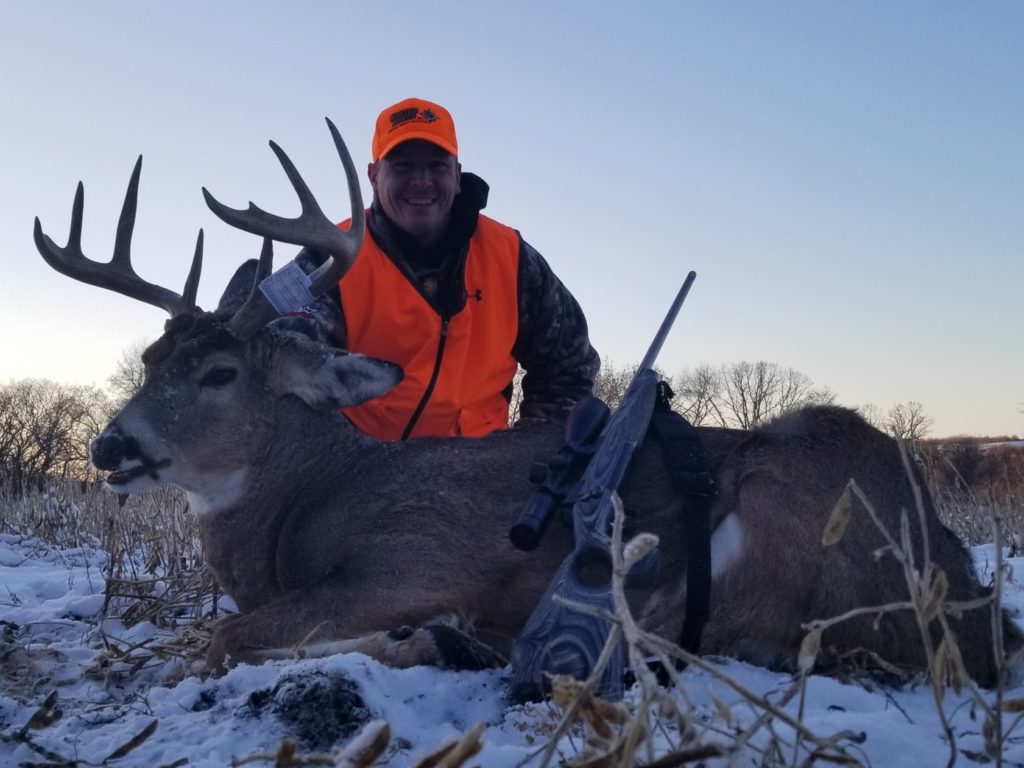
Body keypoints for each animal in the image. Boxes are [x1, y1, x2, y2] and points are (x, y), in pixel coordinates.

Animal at [33, 119, 1020, 698]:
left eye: (218, 373)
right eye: (150, 359)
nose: (108, 446)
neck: (304, 502)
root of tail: (974, 599)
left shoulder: (412, 559)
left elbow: (226, 637)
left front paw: (426, 637)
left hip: (778, 510)